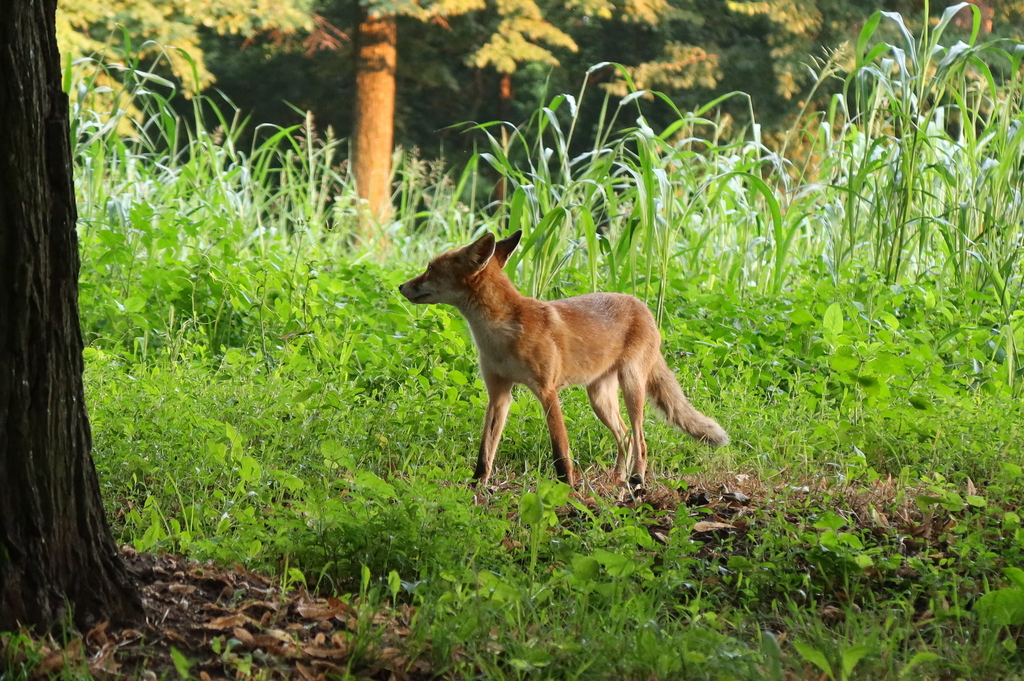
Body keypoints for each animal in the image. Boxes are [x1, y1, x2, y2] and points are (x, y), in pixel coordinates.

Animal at [398, 230, 729, 488]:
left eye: (430, 267)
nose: (401, 286)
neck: (501, 336)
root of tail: (641, 306)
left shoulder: (547, 391)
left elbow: (560, 451)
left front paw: (567, 490)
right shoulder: (499, 393)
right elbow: (485, 452)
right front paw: (475, 489)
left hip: (632, 386)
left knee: (641, 440)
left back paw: (636, 482)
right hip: (599, 397)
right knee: (624, 436)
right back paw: (617, 481)